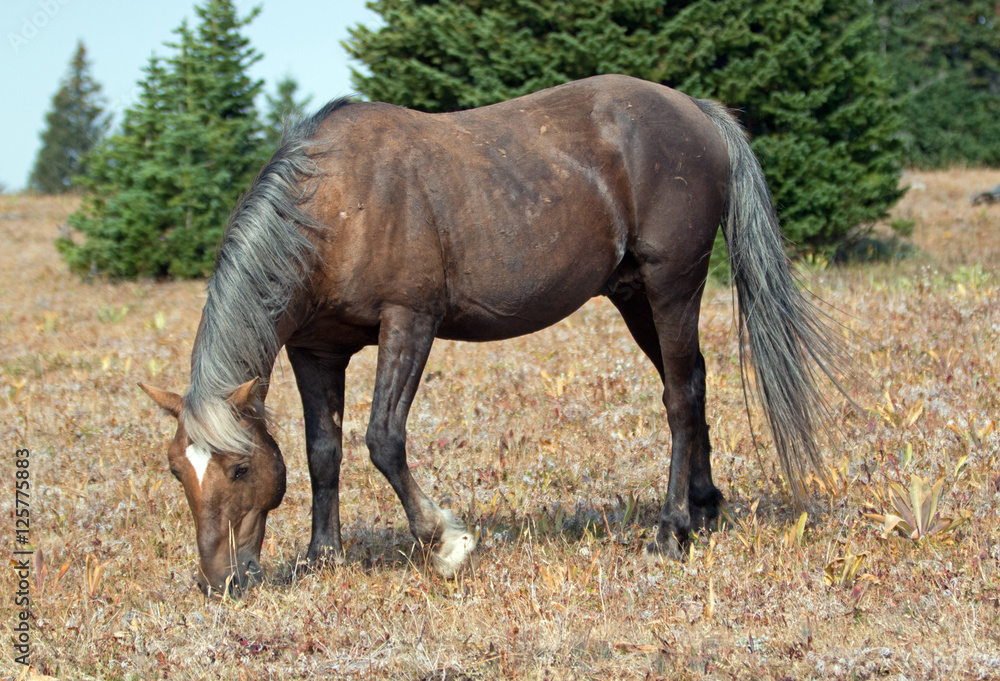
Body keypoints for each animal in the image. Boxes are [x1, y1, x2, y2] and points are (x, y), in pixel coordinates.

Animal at [139, 74, 846, 595]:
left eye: (237, 468)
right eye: (178, 470)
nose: (221, 581)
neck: (337, 205)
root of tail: (695, 110)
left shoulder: (410, 322)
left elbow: (383, 440)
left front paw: (446, 541)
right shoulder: (316, 349)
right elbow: (322, 451)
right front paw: (322, 556)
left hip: (673, 286)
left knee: (677, 398)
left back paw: (670, 529)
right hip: (635, 298)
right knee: (693, 383)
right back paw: (702, 510)